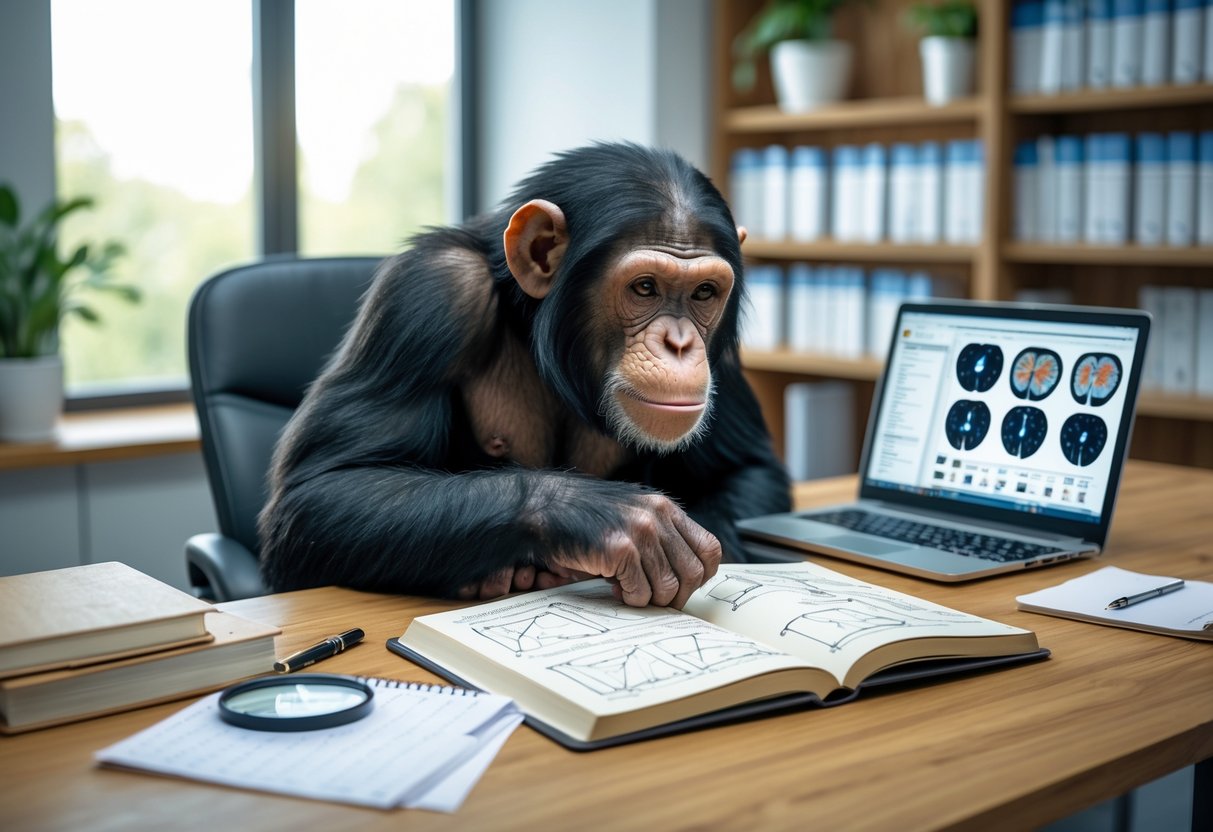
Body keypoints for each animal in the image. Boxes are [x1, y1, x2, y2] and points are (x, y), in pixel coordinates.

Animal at [258, 142, 792, 608]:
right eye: (645, 287)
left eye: (703, 293)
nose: (680, 344)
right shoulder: (425, 295)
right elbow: (325, 488)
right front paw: (607, 517)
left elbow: (746, 467)